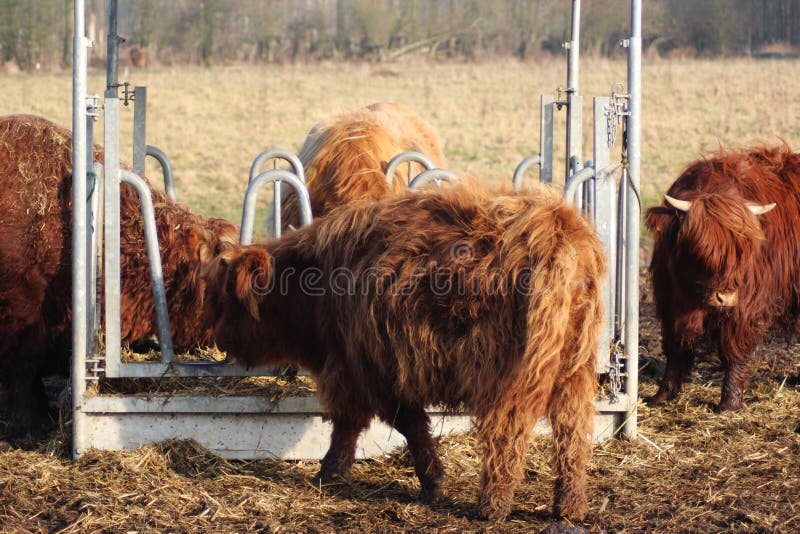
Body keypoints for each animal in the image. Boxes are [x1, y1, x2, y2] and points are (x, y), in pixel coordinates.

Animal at [203, 181, 606, 520]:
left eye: (225, 298)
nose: (214, 337)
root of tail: (556, 228)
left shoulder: (364, 368)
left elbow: (380, 424)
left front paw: (333, 473)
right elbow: (387, 425)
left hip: (510, 374)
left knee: (510, 430)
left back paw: (492, 505)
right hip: (574, 368)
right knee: (572, 431)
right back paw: (569, 507)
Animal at [645, 144, 796, 411]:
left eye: (744, 251)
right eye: (700, 251)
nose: (725, 298)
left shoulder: (746, 307)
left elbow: (734, 350)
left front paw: (729, 403)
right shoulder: (670, 300)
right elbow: (675, 347)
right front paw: (662, 395)